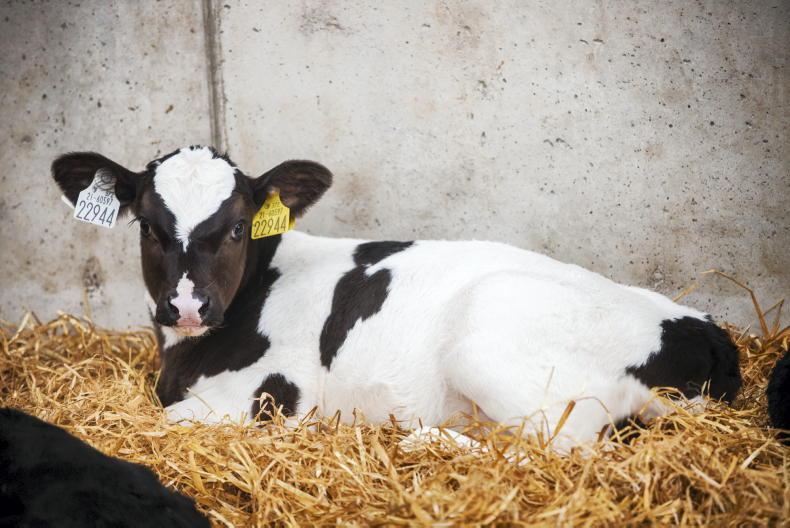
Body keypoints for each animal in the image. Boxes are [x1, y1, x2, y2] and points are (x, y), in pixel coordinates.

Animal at [52, 145, 742, 452]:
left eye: (240, 225)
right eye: (148, 225)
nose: (190, 306)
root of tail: (704, 328)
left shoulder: (269, 395)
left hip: (493, 351)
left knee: (551, 454)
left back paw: (424, 440)